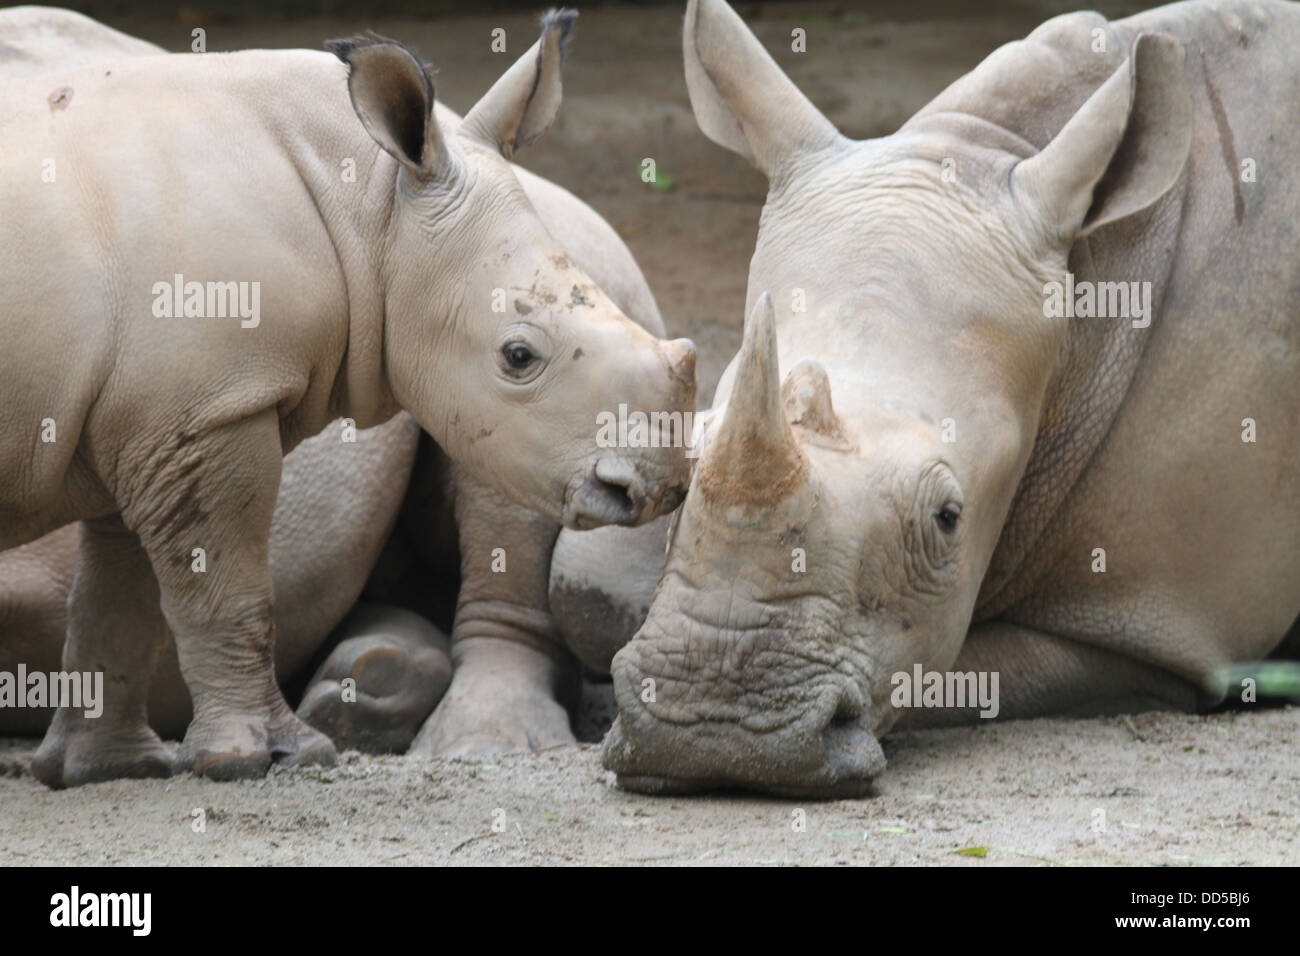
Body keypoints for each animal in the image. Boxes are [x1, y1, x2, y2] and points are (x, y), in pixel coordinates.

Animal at [0, 6, 696, 785]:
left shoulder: (168, 412)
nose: (661, 489)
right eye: (518, 356)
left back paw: (430, 722)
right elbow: (209, 589)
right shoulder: (189, 413)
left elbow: (132, 590)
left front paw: (123, 767)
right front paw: (253, 758)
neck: (369, 203)